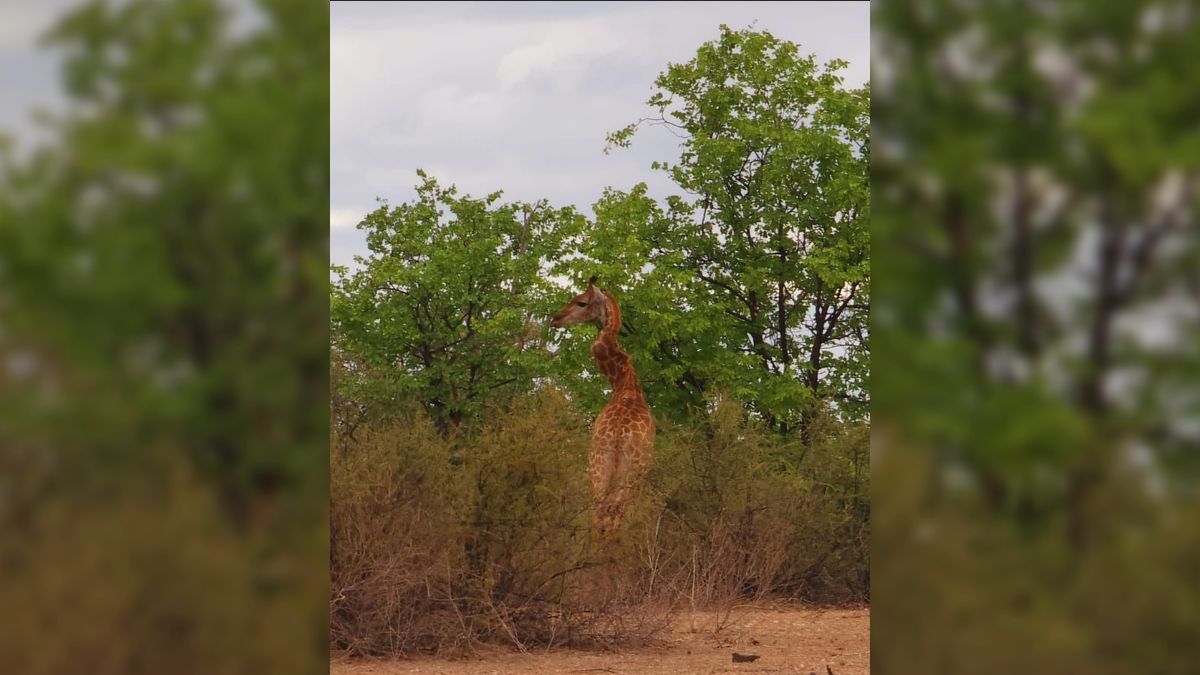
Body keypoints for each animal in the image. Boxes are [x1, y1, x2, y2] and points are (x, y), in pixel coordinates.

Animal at [549, 276, 654, 539]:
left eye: (581, 302)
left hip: (598, 467)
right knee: (613, 517)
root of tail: (618, 436)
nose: (555, 319)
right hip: (628, 473)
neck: (623, 382)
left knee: (599, 515)